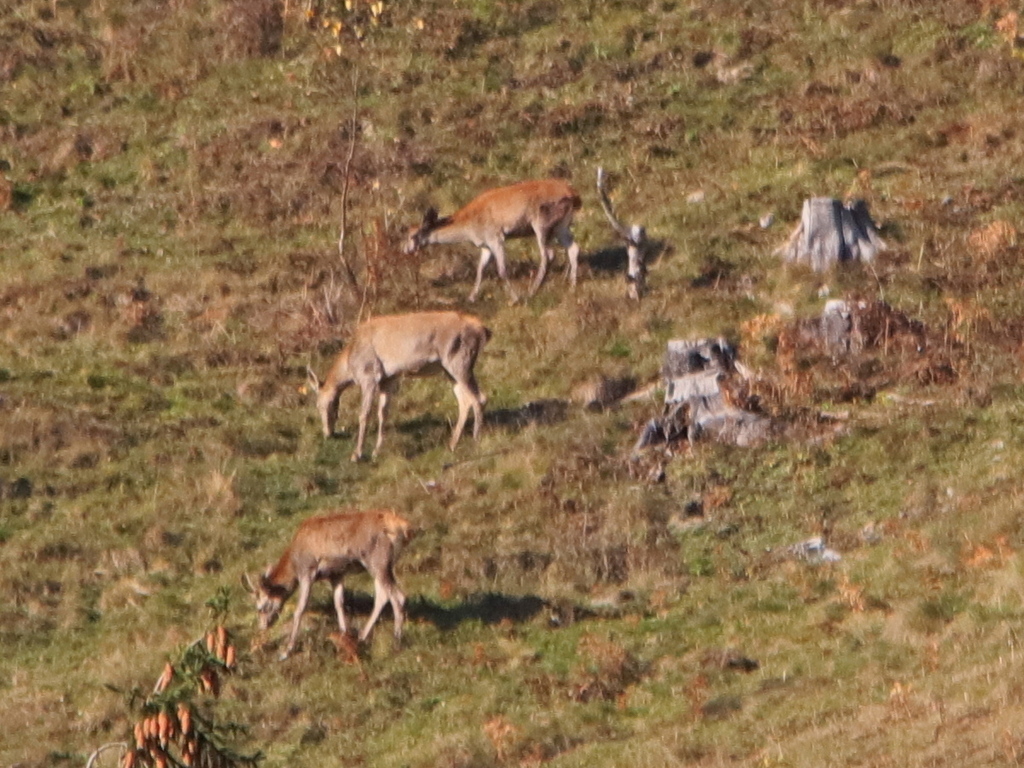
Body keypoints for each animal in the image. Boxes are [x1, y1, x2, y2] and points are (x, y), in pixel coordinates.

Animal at [246, 509, 412, 660]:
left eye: (261, 607)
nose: (263, 626)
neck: (293, 560)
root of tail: (402, 527)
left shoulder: (307, 572)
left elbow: (300, 609)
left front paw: (287, 650)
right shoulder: (336, 575)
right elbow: (339, 603)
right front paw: (344, 635)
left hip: (377, 563)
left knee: (398, 597)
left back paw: (396, 641)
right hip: (381, 568)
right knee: (382, 596)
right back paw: (362, 636)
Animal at [306, 311, 490, 462]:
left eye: (319, 405)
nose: (328, 433)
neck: (349, 363)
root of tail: (483, 330)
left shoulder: (369, 376)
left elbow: (364, 414)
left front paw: (357, 454)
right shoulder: (388, 380)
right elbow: (383, 413)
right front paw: (376, 451)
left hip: (458, 362)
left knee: (479, 398)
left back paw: (475, 440)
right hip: (449, 369)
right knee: (465, 400)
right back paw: (452, 444)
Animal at [403, 178, 583, 303]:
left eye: (413, 235)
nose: (406, 249)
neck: (468, 223)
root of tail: (572, 194)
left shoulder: (496, 238)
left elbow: (501, 270)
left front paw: (515, 298)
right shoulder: (486, 246)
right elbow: (480, 270)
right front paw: (471, 297)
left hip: (541, 225)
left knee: (548, 254)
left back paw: (532, 290)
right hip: (561, 227)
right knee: (573, 248)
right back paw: (572, 287)